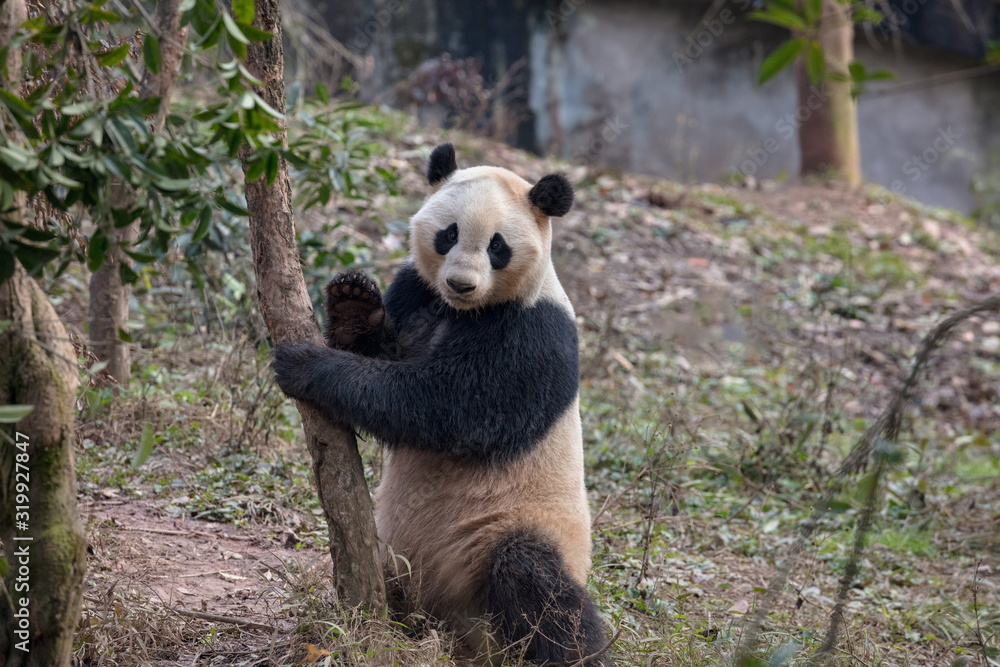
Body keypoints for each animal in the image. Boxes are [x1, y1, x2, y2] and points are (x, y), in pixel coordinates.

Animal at [272, 144, 608, 665]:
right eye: (448, 233)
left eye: (497, 246)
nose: (461, 283)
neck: (462, 312)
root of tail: (461, 631)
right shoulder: (417, 292)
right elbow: (385, 352)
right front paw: (351, 300)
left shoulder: (531, 332)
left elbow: (448, 411)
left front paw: (305, 364)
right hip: (400, 560)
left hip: (513, 528)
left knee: (536, 581)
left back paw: (575, 652)